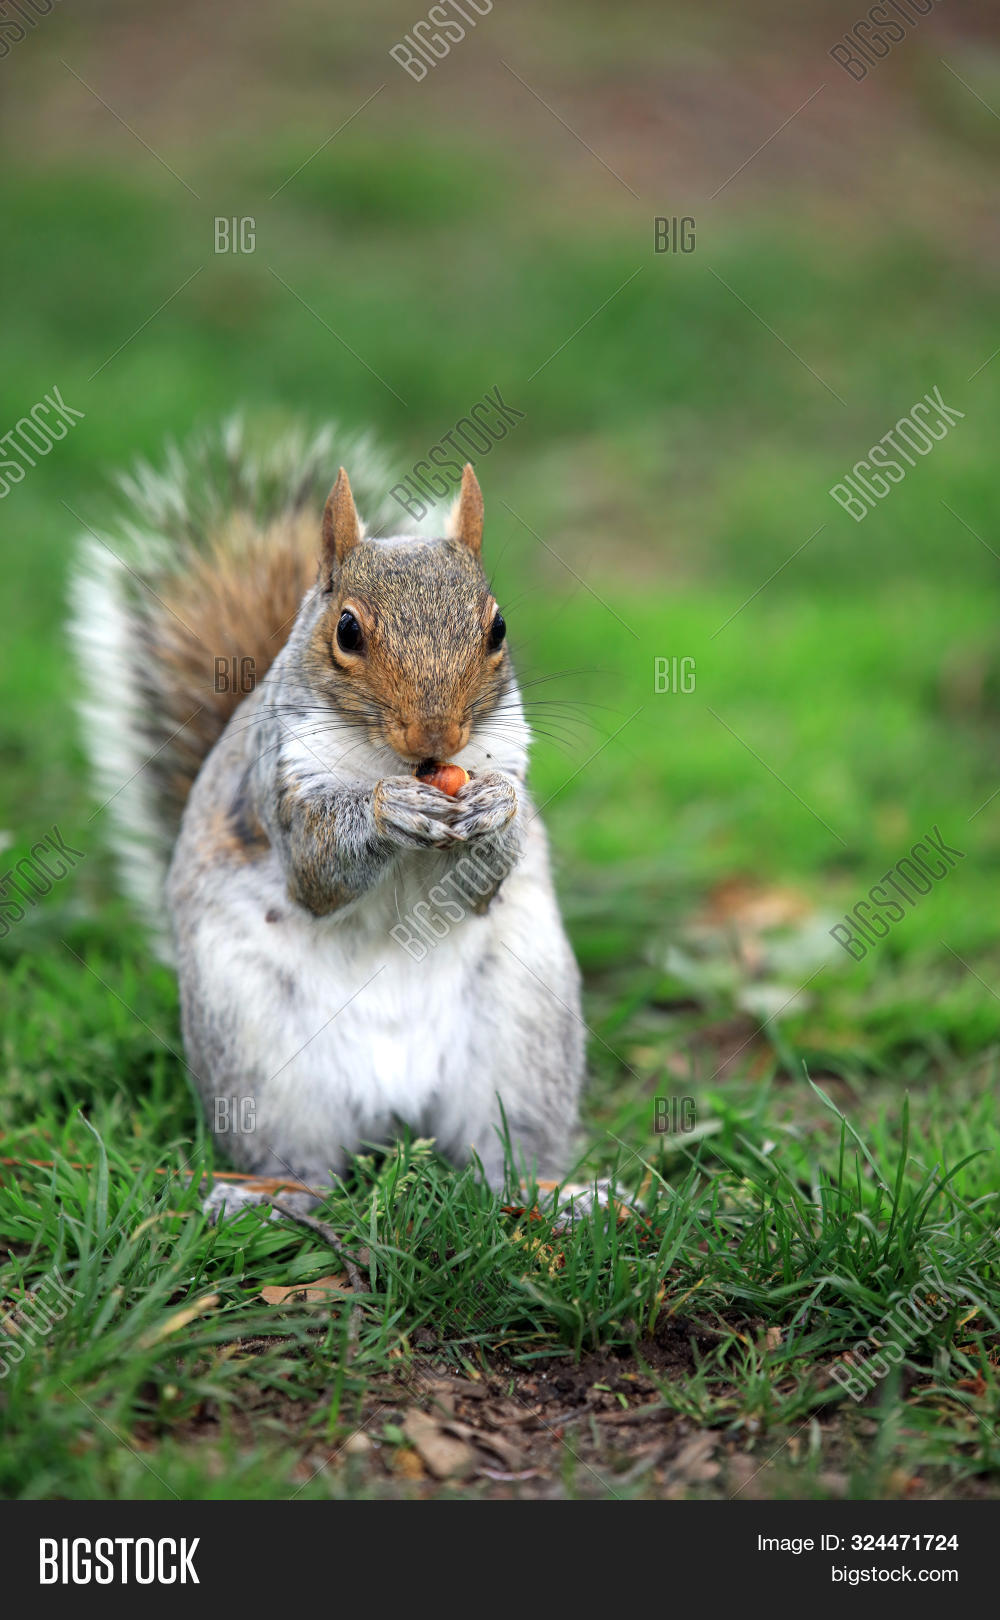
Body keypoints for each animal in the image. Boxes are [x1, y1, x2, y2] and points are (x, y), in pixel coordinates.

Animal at [70, 419, 584, 1213]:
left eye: (498, 629)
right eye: (347, 631)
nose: (437, 739)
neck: (388, 760)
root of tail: (393, 1106)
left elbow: (485, 879)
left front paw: (497, 807)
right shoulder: (279, 779)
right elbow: (317, 872)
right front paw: (387, 810)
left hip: (525, 1041)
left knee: (505, 1159)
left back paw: (568, 1198)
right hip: (256, 1059)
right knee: (302, 1164)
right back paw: (265, 1199)